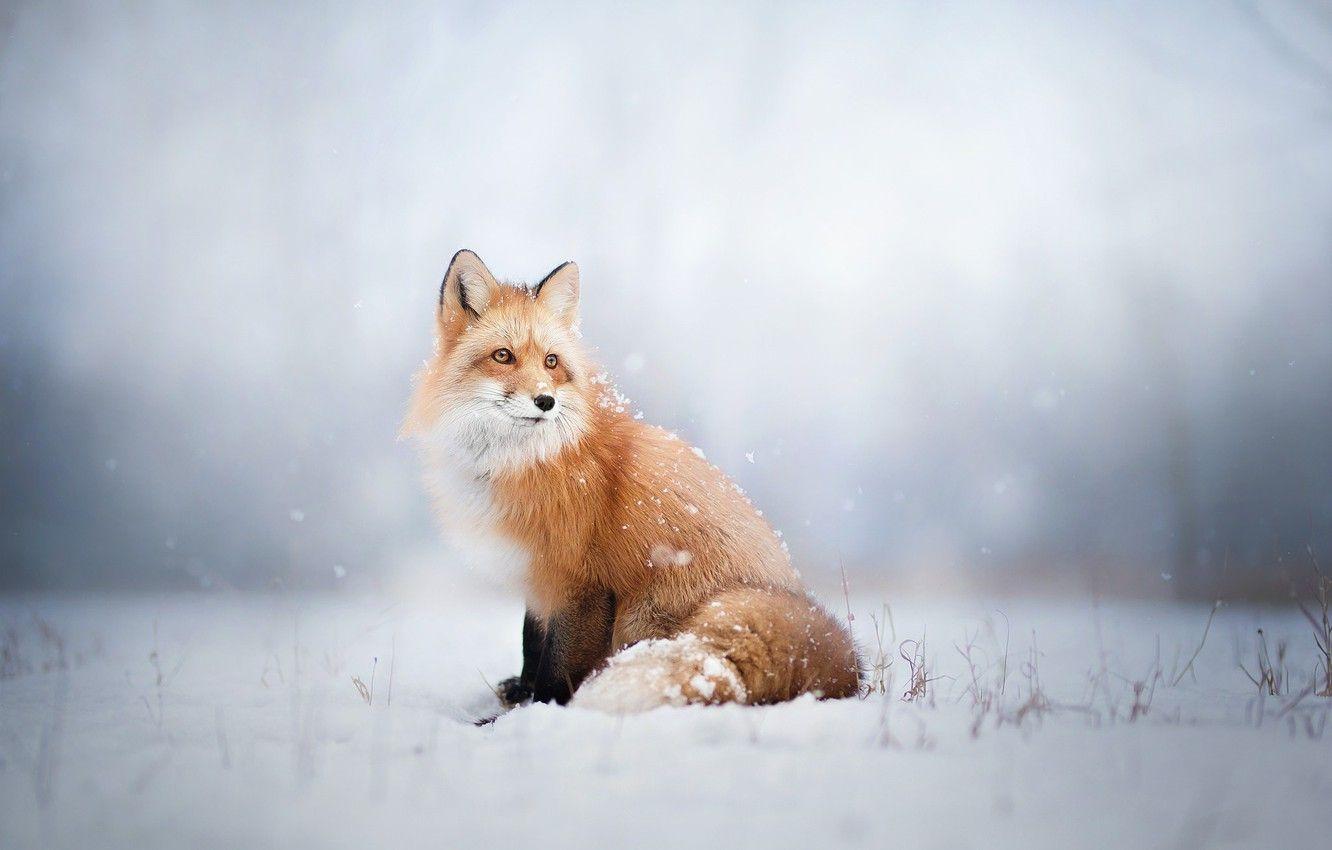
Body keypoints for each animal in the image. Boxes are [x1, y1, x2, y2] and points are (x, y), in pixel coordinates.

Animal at [403, 249, 860, 713]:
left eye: (551, 362)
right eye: (502, 356)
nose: (545, 401)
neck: (526, 460)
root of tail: (841, 668)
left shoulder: (581, 584)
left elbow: (555, 669)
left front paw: (536, 713)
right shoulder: (538, 577)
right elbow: (532, 644)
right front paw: (522, 694)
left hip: (648, 607)